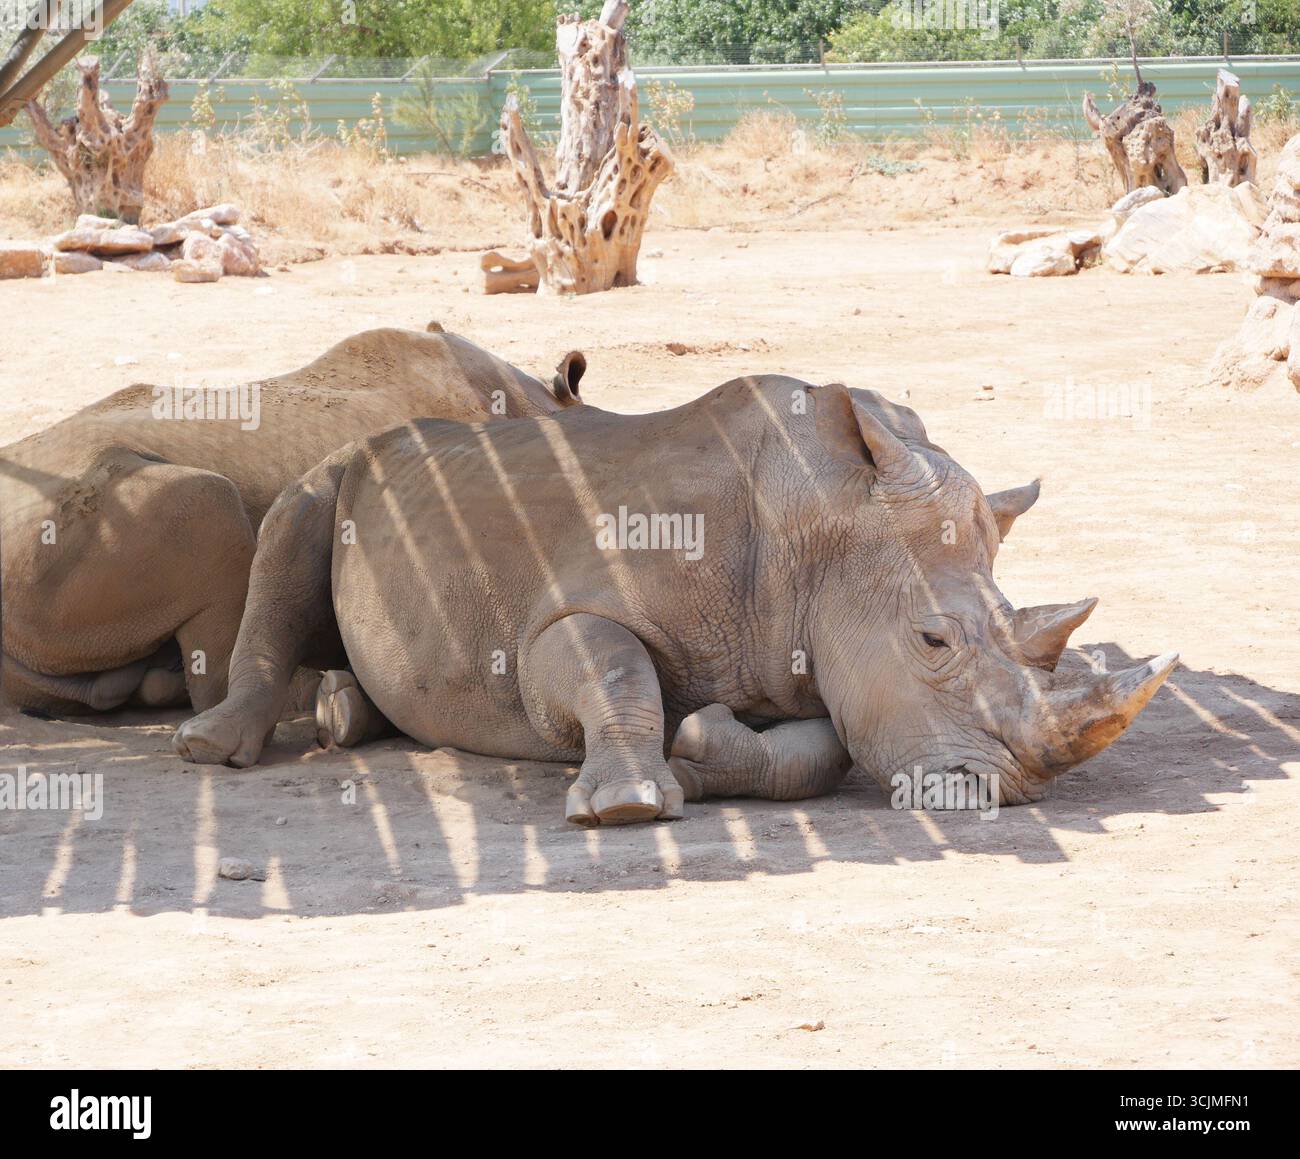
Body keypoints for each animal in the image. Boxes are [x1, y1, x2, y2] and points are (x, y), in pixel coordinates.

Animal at [173, 376, 1176, 821]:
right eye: (932, 641)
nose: (1011, 788)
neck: (822, 516)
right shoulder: (558, 617)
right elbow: (611, 667)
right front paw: (628, 803)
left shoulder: (815, 653)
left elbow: (823, 751)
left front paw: (698, 754)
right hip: (340, 466)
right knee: (291, 522)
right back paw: (209, 748)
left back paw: (347, 715)